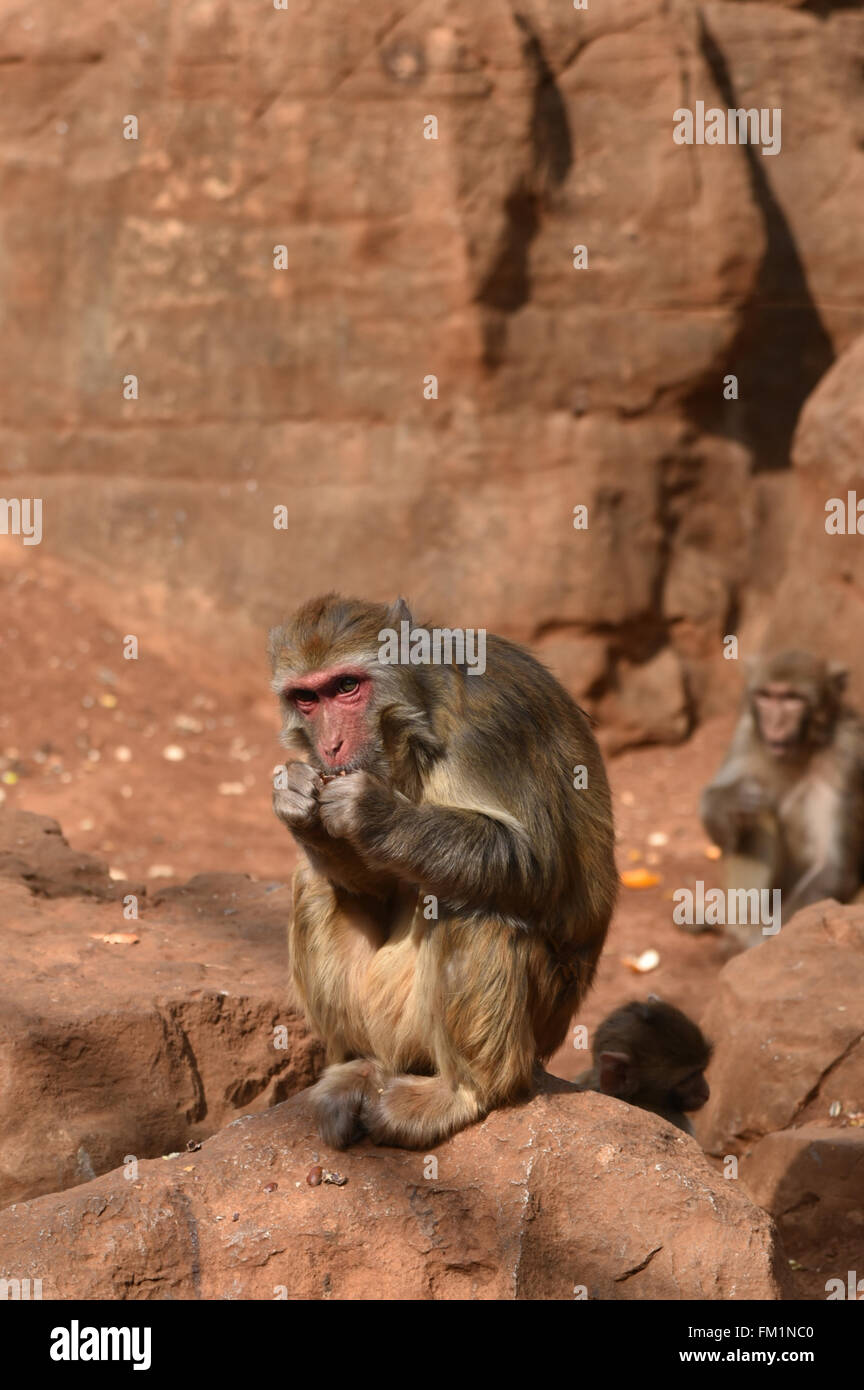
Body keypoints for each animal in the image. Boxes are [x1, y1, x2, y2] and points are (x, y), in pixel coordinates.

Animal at [268, 593, 617, 1150]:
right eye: (306, 697)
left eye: (346, 687)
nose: (331, 748)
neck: (415, 718)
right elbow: (371, 884)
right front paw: (296, 799)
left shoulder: (492, 727)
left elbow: (537, 866)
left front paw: (373, 813)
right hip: (386, 1019)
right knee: (317, 884)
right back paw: (359, 1067)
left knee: (475, 906)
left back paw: (465, 1094)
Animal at [699, 651, 864, 947]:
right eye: (766, 696)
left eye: (793, 699)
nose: (774, 724)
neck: (800, 750)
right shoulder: (745, 735)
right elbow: (724, 831)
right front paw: (722, 803)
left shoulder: (846, 755)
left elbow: (832, 866)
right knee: (755, 818)